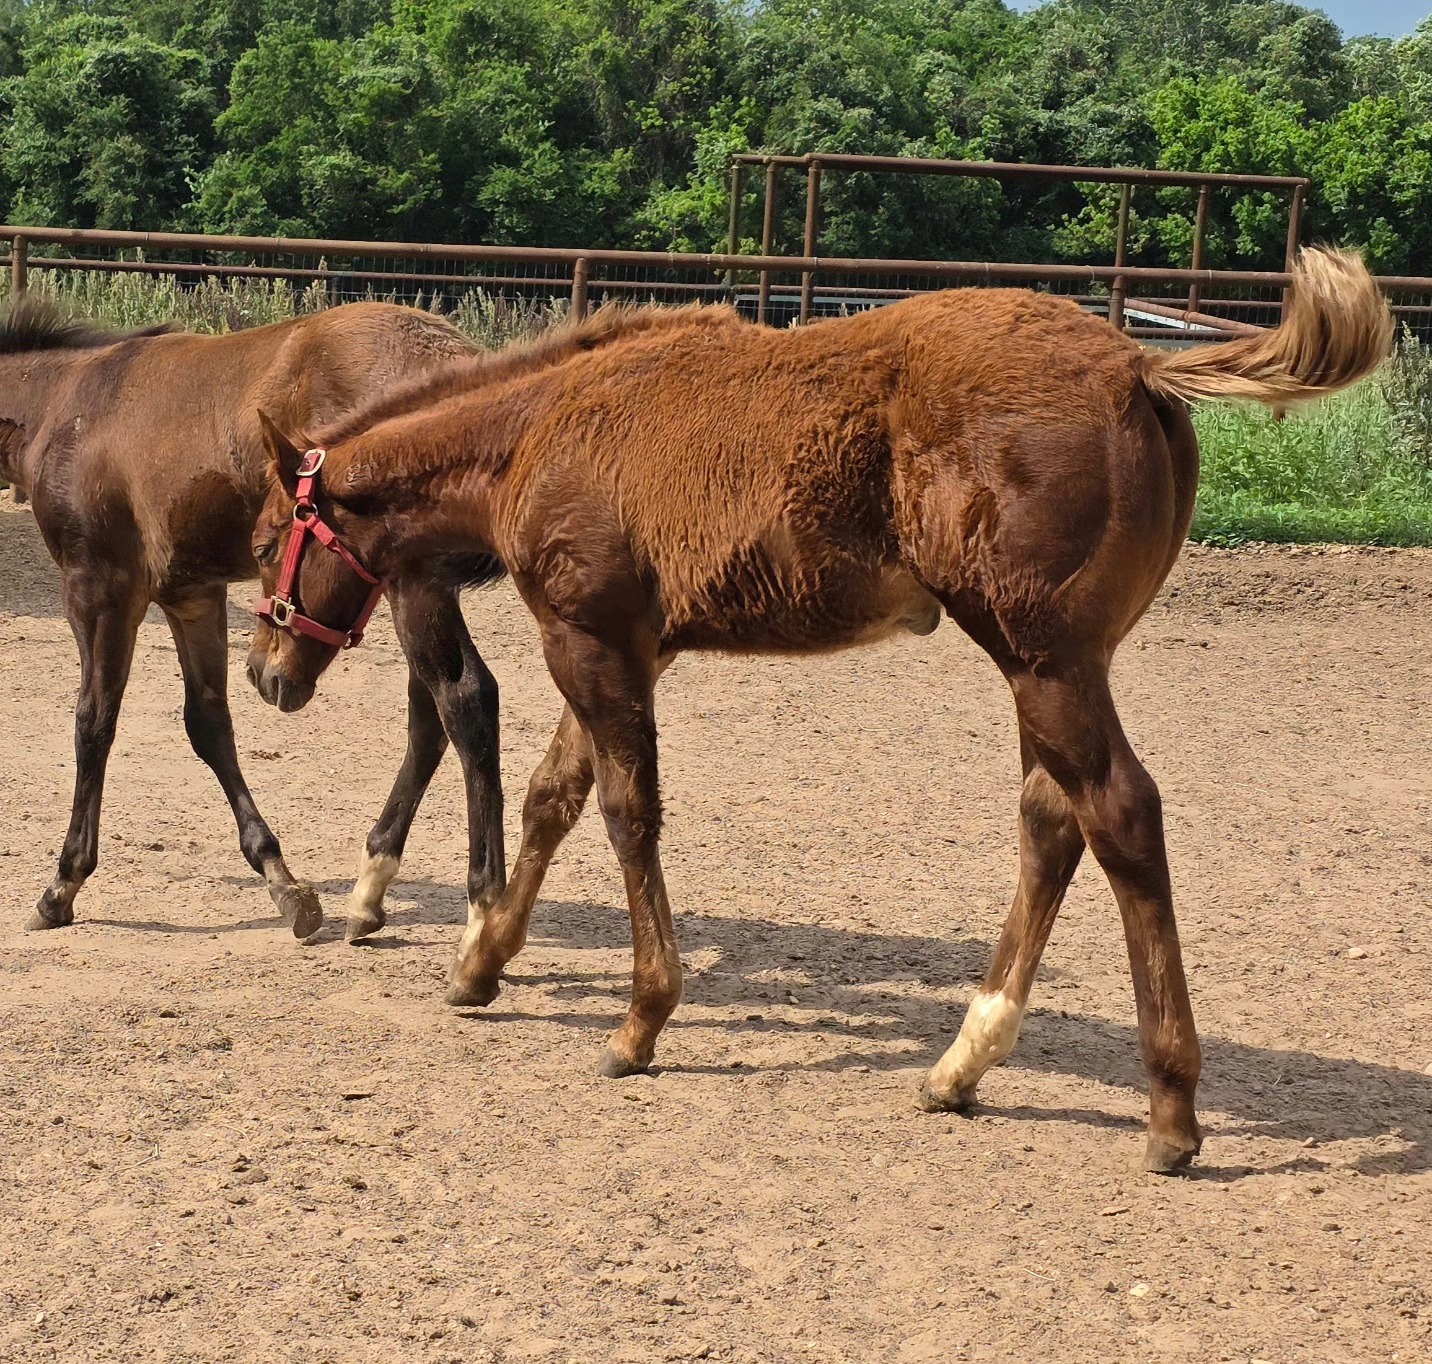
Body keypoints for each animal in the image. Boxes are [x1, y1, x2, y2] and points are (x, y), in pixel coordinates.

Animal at [0, 298, 511, 940]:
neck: (61, 404)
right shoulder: (193, 594)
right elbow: (209, 725)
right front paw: (283, 884)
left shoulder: (98, 587)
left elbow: (93, 722)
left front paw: (61, 885)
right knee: (431, 716)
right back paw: (370, 890)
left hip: (413, 585)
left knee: (462, 699)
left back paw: (478, 911)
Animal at [245, 251, 1391, 1170]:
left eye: (265, 541)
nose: (265, 672)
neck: (545, 426)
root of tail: (1137, 367)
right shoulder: (625, 641)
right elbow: (553, 796)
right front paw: (480, 962)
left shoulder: (587, 638)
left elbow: (625, 812)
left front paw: (638, 1022)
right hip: (1060, 663)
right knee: (1052, 819)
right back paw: (962, 1062)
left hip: (1044, 656)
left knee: (1117, 814)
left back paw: (1169, 1112)